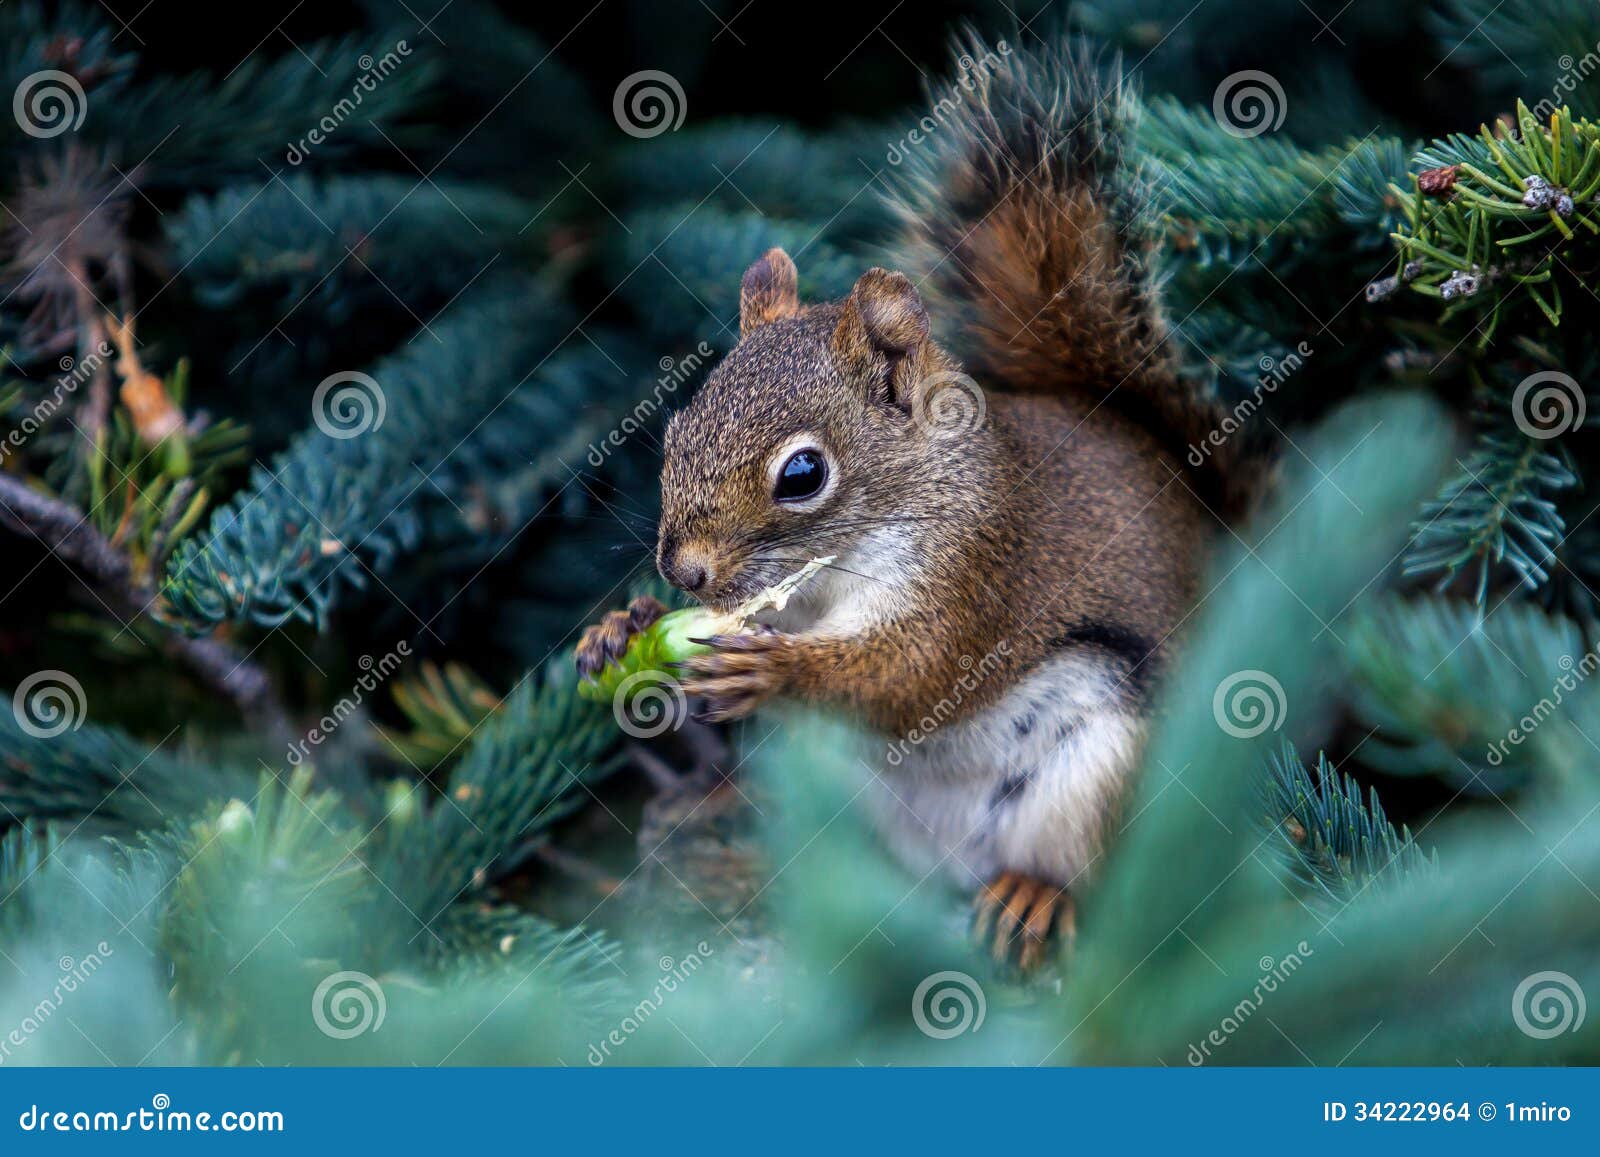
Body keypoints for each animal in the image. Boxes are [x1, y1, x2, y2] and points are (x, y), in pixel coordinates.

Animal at [577, 37, 1268, 970]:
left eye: (803, 474)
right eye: (676, 430)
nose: (681, 571)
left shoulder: (979, 565)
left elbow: (912, 673)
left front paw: (776, 670)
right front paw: (623, 627)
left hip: (1105, 773)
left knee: (1095, 876)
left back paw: (1033, 897)